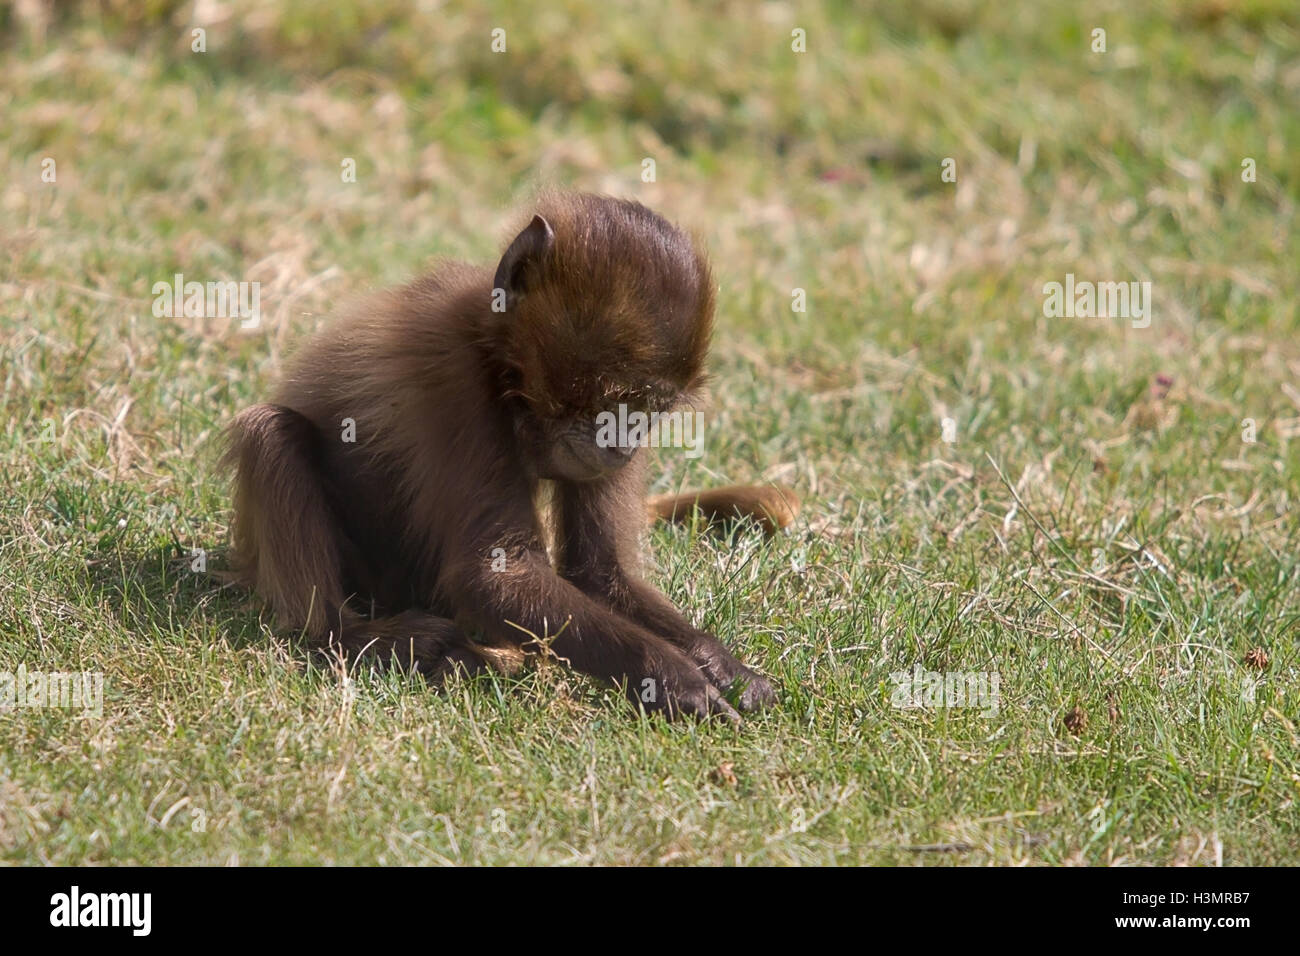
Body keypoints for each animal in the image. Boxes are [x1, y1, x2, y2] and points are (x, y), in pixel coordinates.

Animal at [224, 191, 797, 721]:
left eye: (648, 410)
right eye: (614, 399)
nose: (625, 443)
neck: (500, 358)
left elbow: (597, 573)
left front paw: (720, 665)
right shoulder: (456, 376)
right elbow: (496, 576)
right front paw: (672, 677)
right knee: (272, 434)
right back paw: (351, 637)